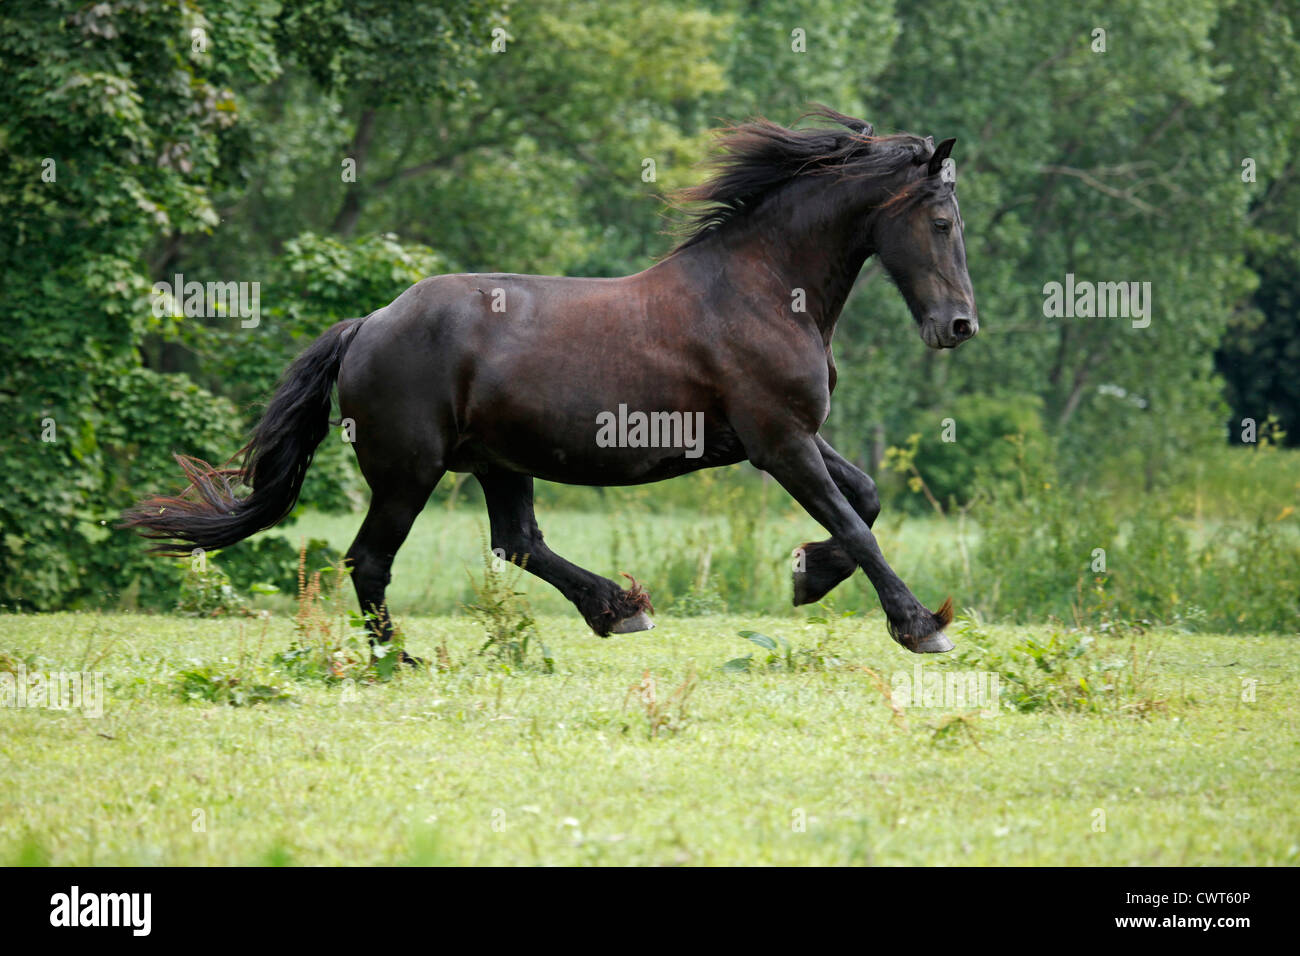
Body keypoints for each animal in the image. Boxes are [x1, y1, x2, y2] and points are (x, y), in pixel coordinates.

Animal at [123, 106, 978, 657]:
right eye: (942, 221)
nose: (959, 327)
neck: (760, 289)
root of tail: (368, 323)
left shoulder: (785, 436)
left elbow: (863, 499)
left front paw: (809, 576)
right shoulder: (778, 441)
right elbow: (858, 522)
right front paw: (920, 626)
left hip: (498, 462)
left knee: (516, 541)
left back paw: (618, 610)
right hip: (408, 471)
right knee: (371, 560)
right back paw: (397, 658)